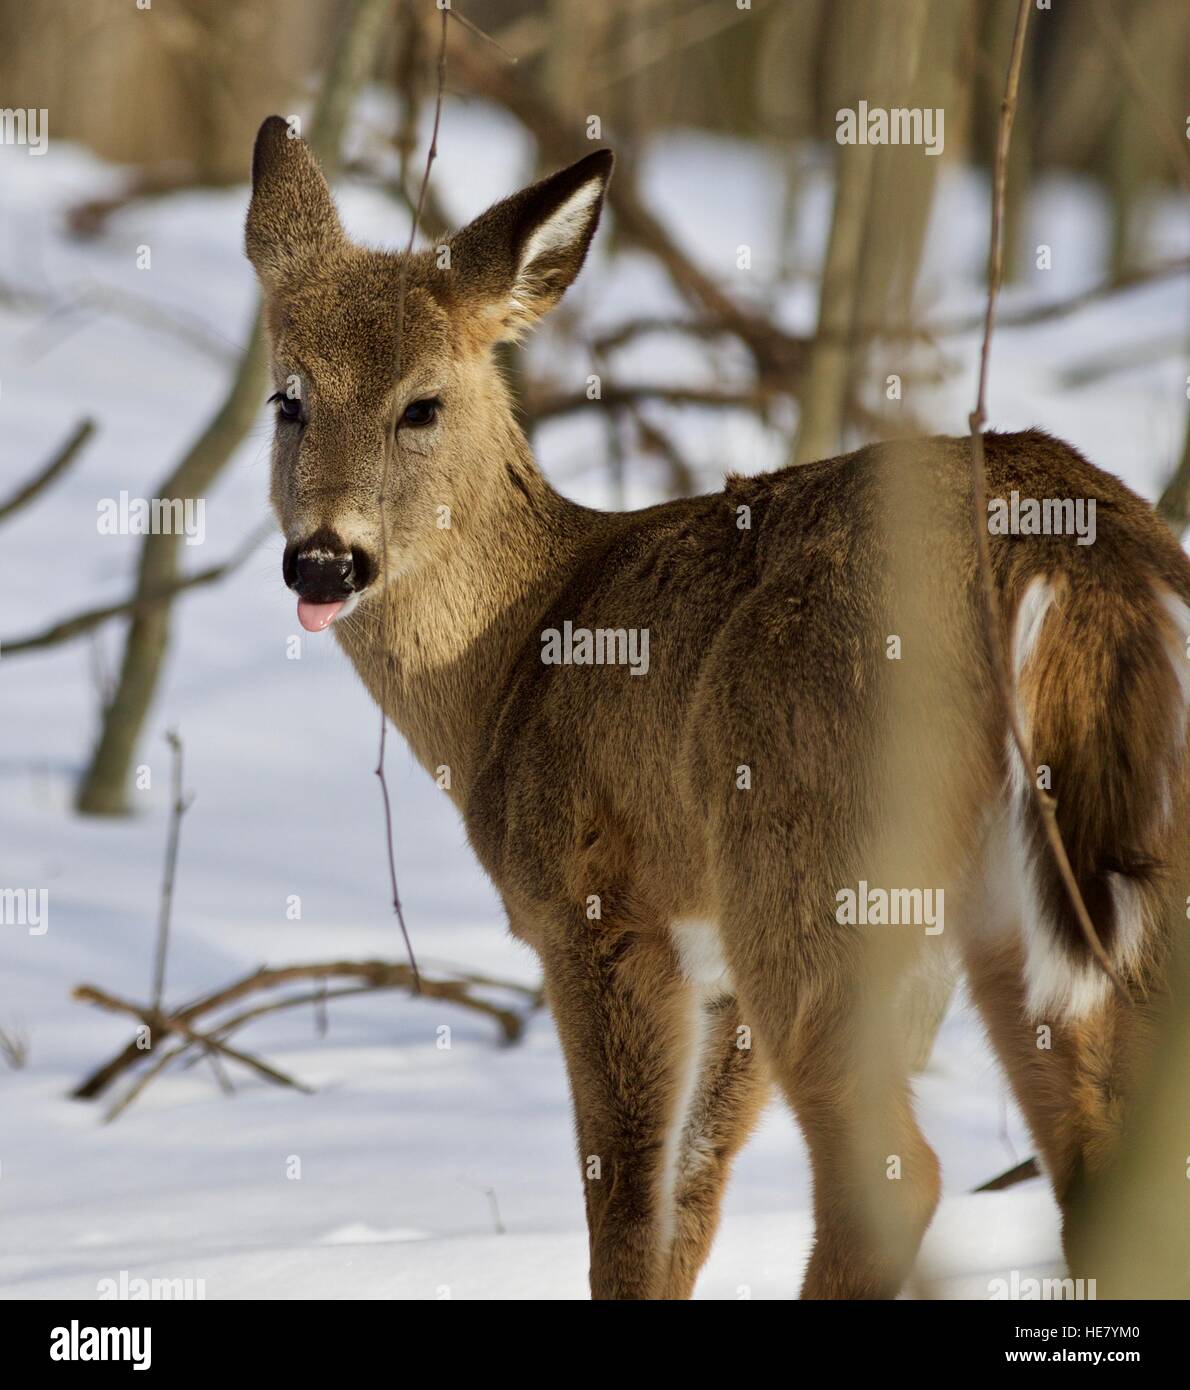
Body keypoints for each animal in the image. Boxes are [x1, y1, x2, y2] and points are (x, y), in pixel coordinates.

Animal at [246, 114, 1190, 1299]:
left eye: (422, 403)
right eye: (288, 397)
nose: (323, 561)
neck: (519, 652)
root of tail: (1068, 548)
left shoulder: (597, 900)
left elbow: (627, 1212)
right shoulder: (713, 967)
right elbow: (689, 1199)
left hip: (809, 850)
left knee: (892, 1179)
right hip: (1064, 895)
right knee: (1111, 1174)